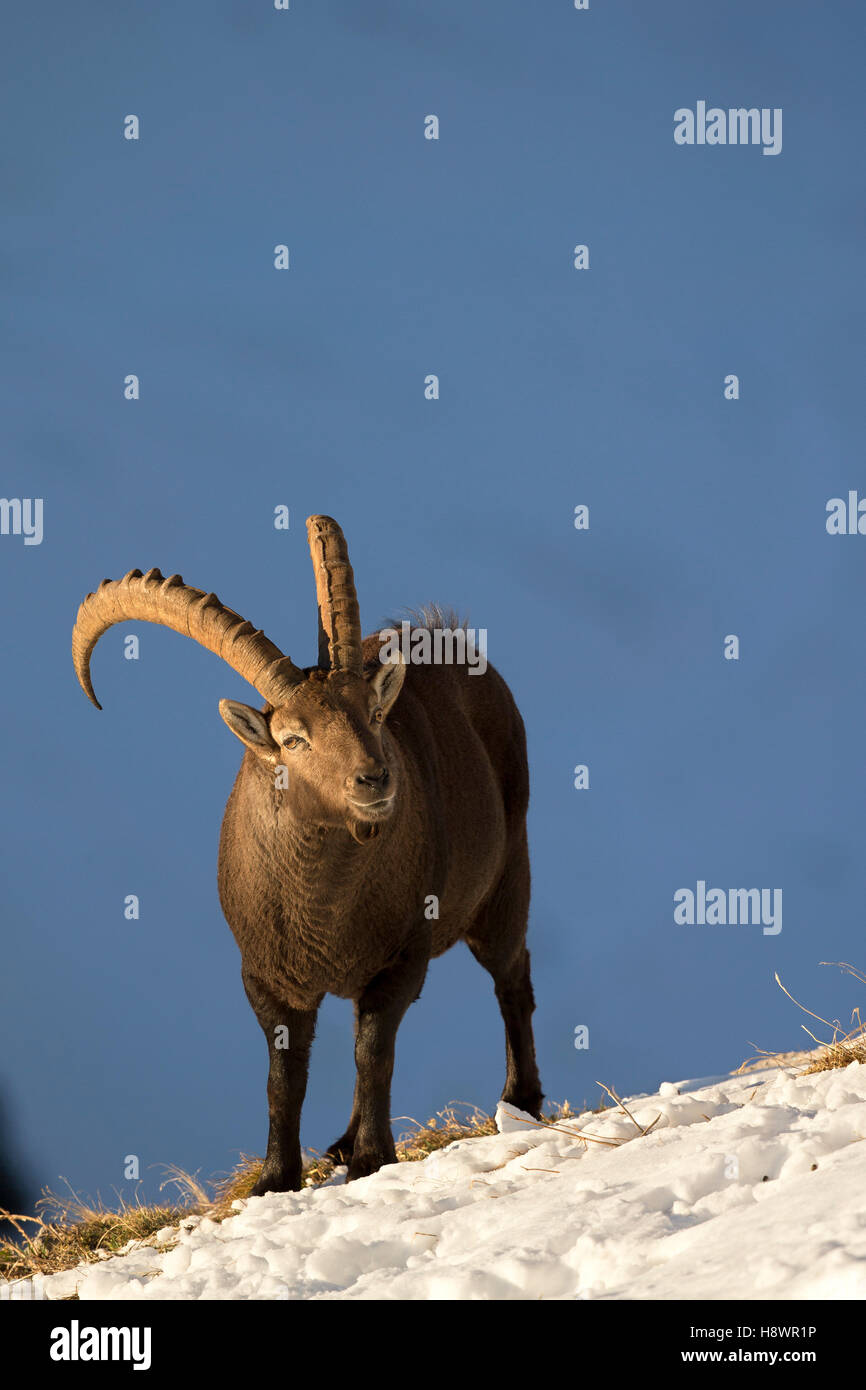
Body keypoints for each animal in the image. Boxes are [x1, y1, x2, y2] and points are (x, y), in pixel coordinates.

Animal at [72, 516, 543, 1192]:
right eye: (293, 739)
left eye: (376, 713)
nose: (375, 779)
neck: (324, 903)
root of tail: (447, 633)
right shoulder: (267, 974)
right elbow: (284, 1075)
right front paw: (277, 1176)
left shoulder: (401, 956)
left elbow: (374, 1051)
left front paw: (374, 1158)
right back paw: (342, 1141)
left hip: (506, 878)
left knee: (513, 978)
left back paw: (520, 1101)